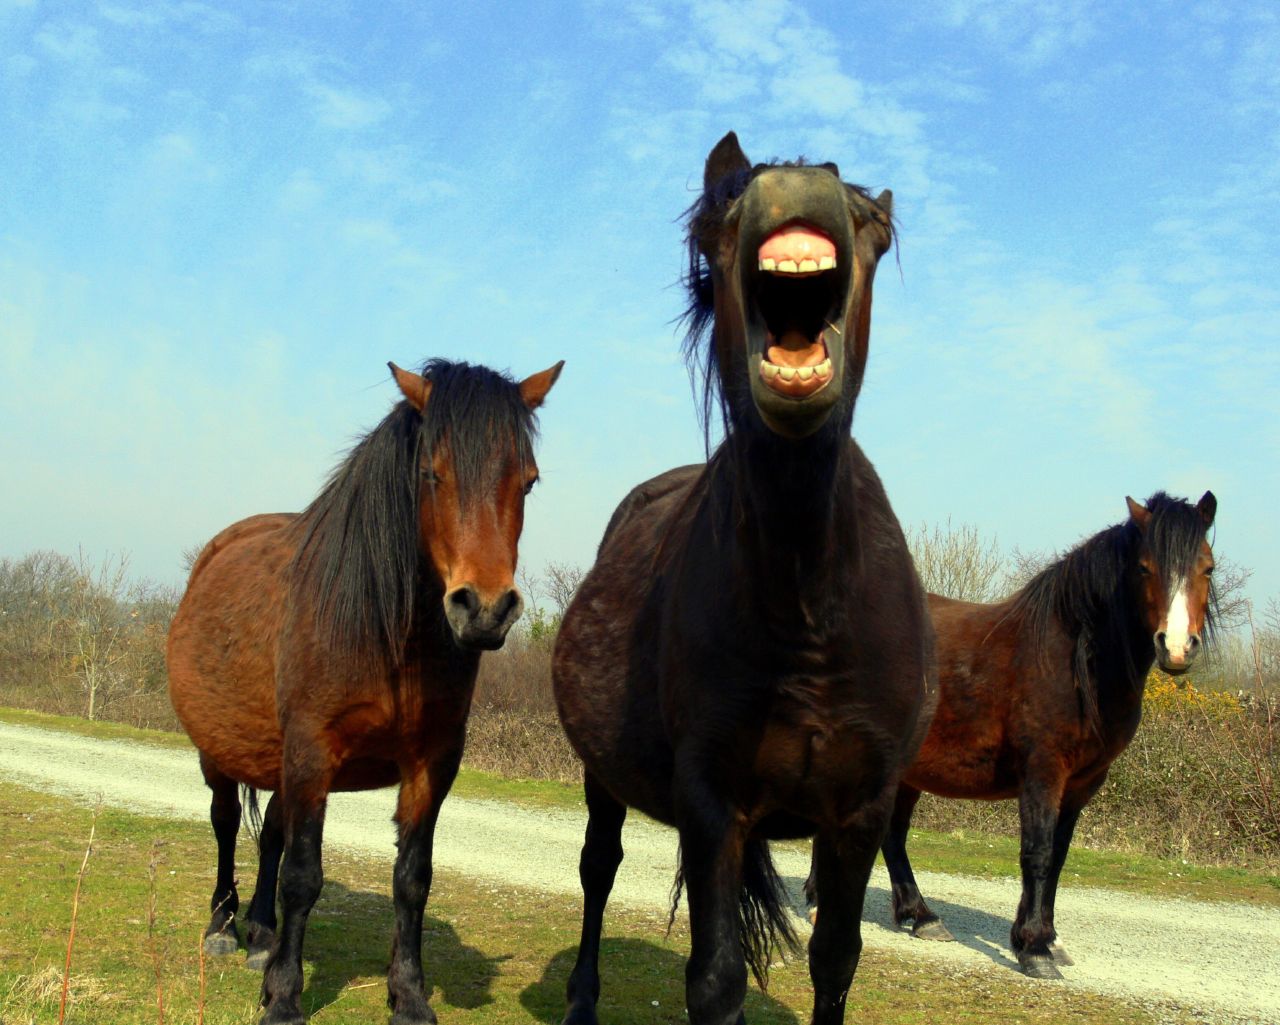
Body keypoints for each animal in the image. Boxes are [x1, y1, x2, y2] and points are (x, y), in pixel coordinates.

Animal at [167, 357, 562, 1025]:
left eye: (528, 482)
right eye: (432, 473)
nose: (485, 610)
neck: (385, 632)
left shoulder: (431, 762)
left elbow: (412, 878)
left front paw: (408, 995)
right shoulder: (311, 751)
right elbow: (303, 875)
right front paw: (284, 997)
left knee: (270, 833)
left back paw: (262, 935)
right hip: (220, 752)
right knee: (225, 822)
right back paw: (222, 927)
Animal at [551, 132, 936, 1025]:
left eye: (872, 223)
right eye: (719, 226)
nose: (797, 186)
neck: (806, 611)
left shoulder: (859, 813)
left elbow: (836, 960)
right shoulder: (710, 804)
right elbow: (716, 976)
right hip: (603, 779)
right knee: (597, 869)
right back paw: (582, 1000)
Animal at [805, 489, 1217, 980]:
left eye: (1208, 568)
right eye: (1144, 568)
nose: (1176, 647)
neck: (1071, 657)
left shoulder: (1082, 783)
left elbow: (1057, 857)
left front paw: (1047, 938)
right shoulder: (1043, 770)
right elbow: (1035, 853)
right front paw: (1034, 949)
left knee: (892, 835)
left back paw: (920, 916)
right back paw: (820, 904)